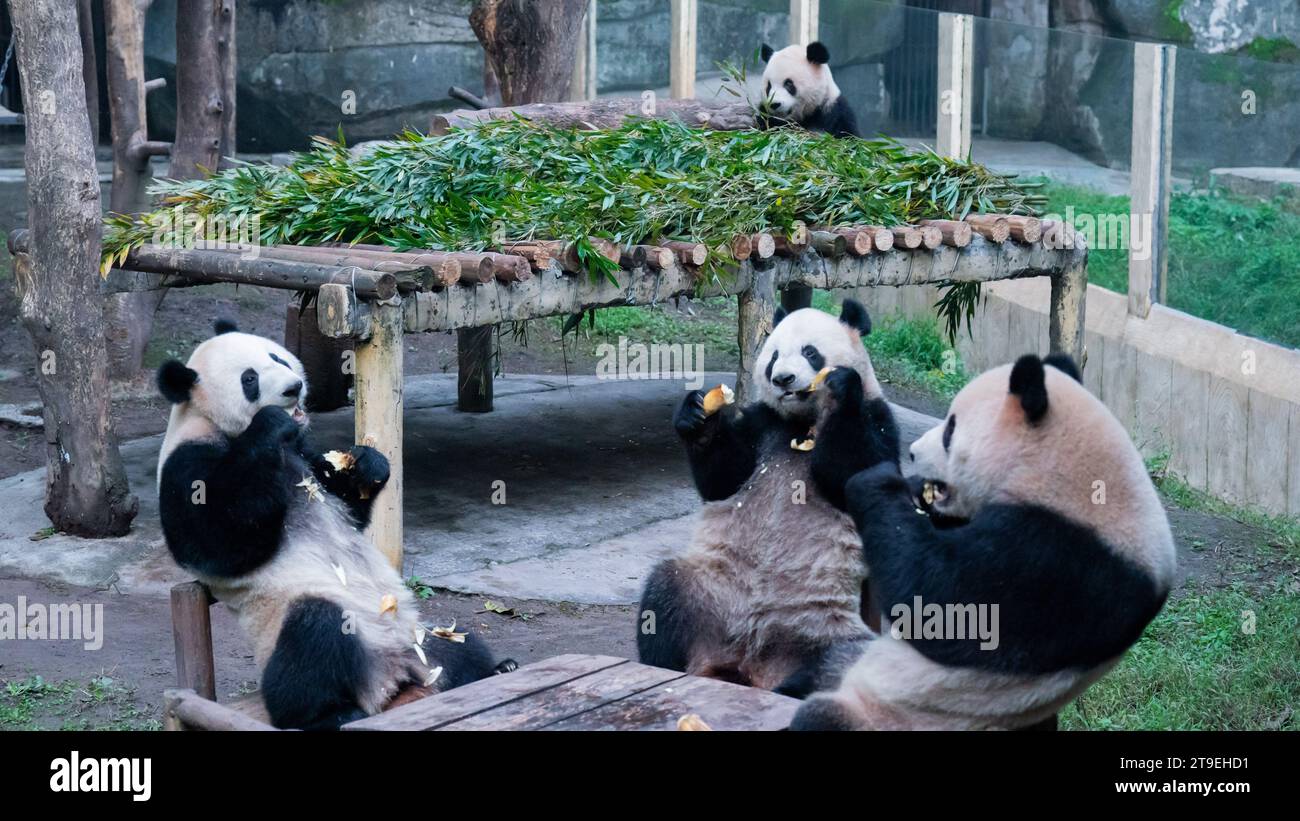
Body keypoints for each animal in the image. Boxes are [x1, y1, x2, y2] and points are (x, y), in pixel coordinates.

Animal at [156, 320, 514, 730]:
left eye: (277, 357)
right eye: (249, 379)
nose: (294, 387)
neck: (213, 422)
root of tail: (393, 683)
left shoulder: (304, 451)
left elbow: (347, 503)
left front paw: (368, 464)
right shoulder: (189, 461)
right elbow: (215, 541)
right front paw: (269, 425)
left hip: (415, 636)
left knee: (459, 647)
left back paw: (497, 668)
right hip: (296, 624)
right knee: (312, 641)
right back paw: (330, 712)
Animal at [637, 300, 899, 695]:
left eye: (810, 352)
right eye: (774, 356)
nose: (783, 380)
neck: (799, 422)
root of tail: (751, 665)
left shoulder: (880, 418)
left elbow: (858, 469)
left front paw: (841, 388)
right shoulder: (761, 423)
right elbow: (724, 478)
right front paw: (697, 415)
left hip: (821, 624)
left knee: (840, 660)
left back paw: (792, 687)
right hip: (712, 590)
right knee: (664, 596)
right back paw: (664, 665)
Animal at [791, 353, 1177, 730]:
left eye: (950, 429)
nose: (912, 453)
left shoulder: (1056, 560)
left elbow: (941, 602)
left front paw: (878, 481)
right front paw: (843, 390)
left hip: (889, 714)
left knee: (822, 717)